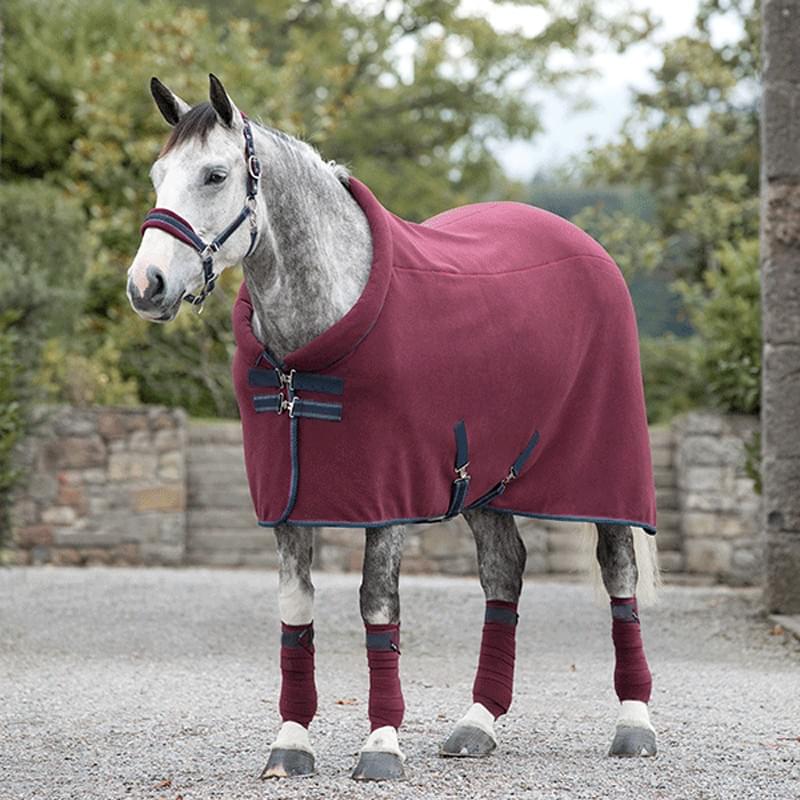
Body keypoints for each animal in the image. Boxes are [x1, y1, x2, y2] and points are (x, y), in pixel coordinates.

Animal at [127, 74, 660, 782]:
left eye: (215, 175)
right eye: (158, 175)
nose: (146, 284)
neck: (311, 345)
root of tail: (588, 247)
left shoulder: (387, 498)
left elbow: (378, 608)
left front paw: (381, 745)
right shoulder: (288, 502)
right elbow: (296, 612)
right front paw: (291, 744)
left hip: (604, 476)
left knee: (618, 574)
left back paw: (634, 725)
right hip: (484, 479)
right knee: (504, 572)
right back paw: (477, 723)